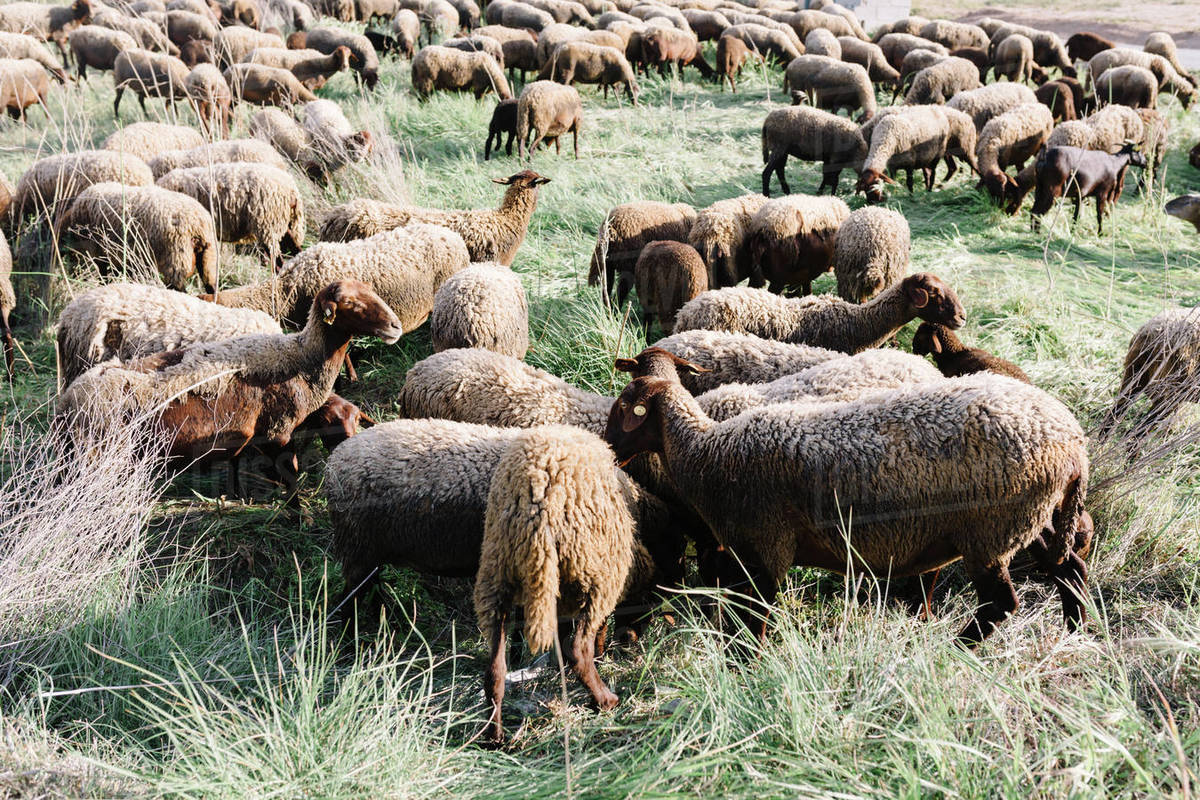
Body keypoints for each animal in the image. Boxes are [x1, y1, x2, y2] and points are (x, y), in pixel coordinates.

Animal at [53, 182, 218, 292]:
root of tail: (198, 223)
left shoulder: (103, 255)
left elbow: (104, 278)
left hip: (176, 261)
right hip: (208, 259)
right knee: (212, 288)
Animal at [475, 426, 643, 742]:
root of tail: (537, 508)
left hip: (496, 576)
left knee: (494, 669)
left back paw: (495, 736)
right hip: (595, 578)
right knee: (578, 649)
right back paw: (605, 700)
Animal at [605, 350, 1090, 645]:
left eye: (625, 408)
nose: (608, 449)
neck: (705, 451)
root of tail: (1074, 444)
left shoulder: (763, 549)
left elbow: (752, 619)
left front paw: (742, 664)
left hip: (989, 532)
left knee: (1001, 603)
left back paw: (958, 648)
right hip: (1028, 519)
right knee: (1069, 567)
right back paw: (1075, 630)